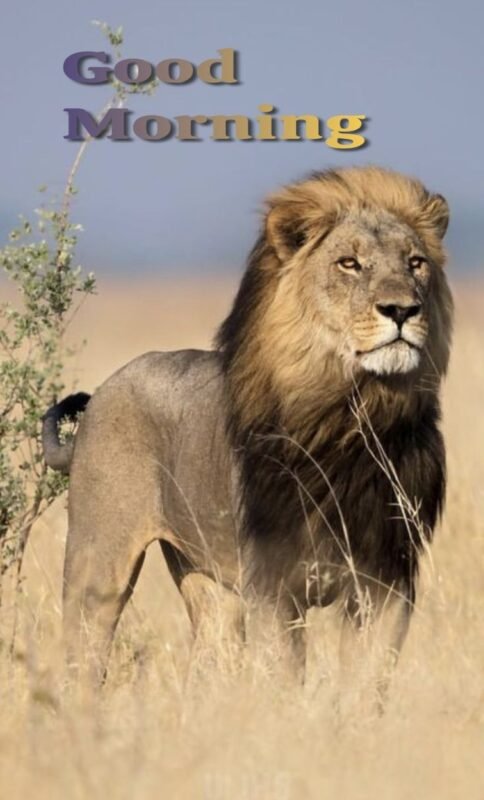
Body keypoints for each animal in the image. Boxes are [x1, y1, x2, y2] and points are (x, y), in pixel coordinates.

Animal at [42, 166, 453, 696]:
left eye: (416, 262)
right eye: (349, 263)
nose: (402, 310)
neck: (351, 417)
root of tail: (103, 391)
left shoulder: (388, 584)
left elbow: (366, 687)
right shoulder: (274, 586)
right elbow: (285, 681)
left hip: (211, 585)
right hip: (97, 568)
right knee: (84, 656)